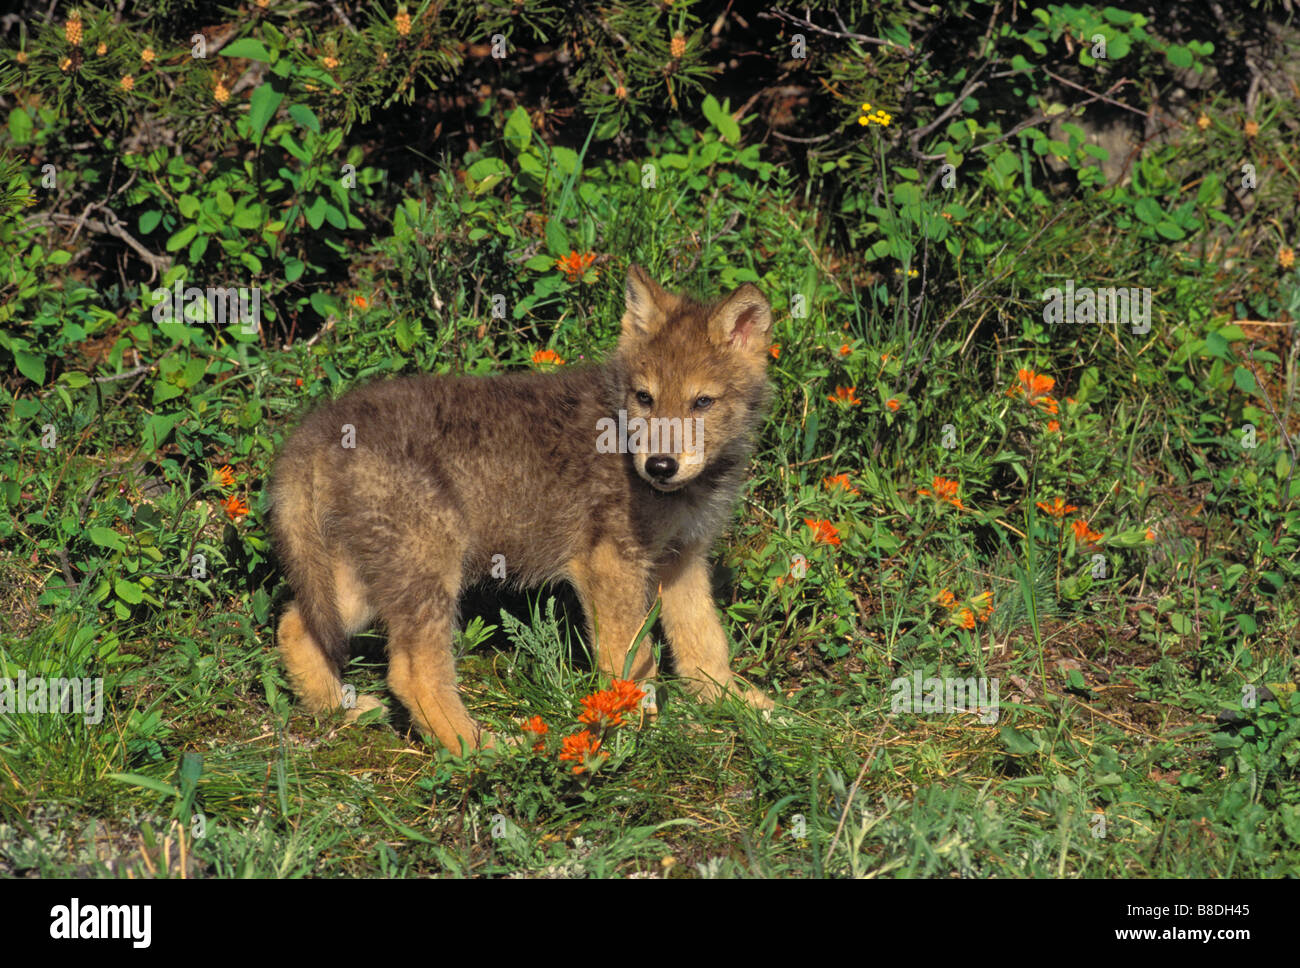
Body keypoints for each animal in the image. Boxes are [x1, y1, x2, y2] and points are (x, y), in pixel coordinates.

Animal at [269, 265, 775, 751]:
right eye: (645, 398)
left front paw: (737, 704)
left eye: (702, 402)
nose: (660, 465)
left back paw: (340, 709)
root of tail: (321, 426)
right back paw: (484, 749)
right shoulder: (611, 562)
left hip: (362, 582)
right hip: (429, 570)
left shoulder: (683, 558)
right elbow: (633, 661)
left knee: (295, 625)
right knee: (414, 674)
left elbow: (706, 644)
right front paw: (640, 729)